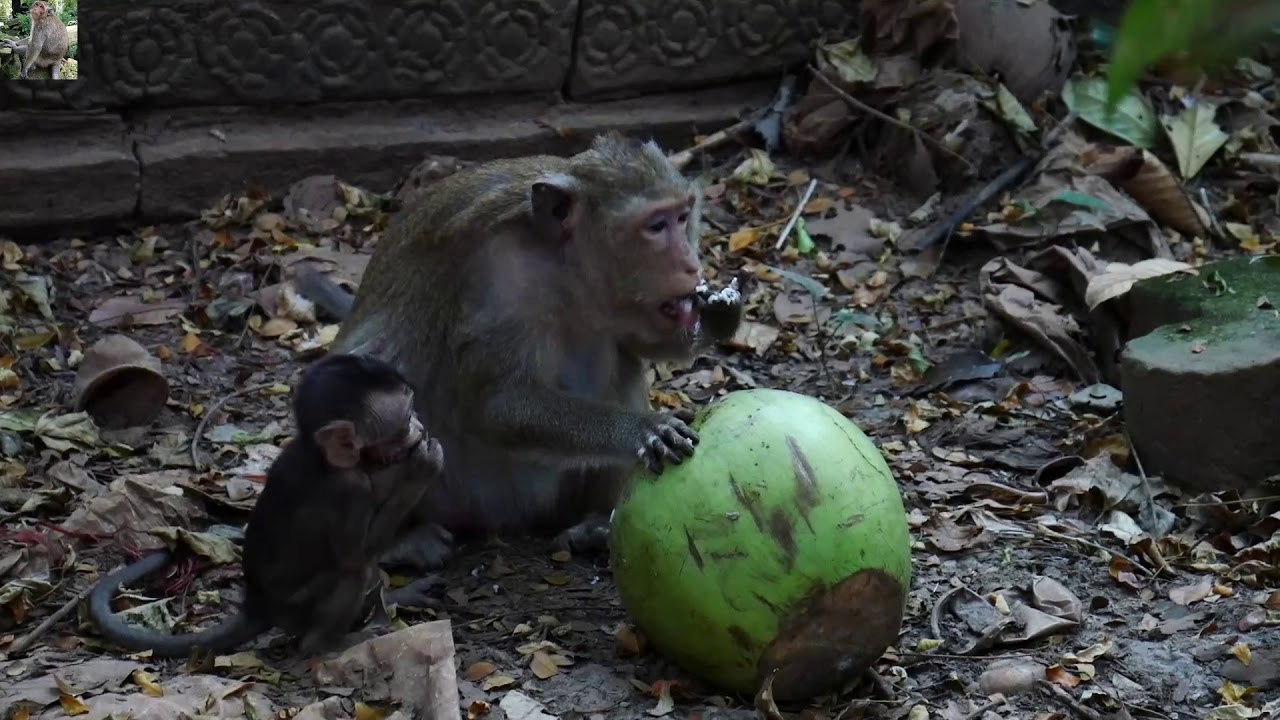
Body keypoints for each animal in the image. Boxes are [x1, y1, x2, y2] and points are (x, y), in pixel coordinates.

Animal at [86, 354, 446, 658]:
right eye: (406, 419)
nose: (420, 425)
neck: (320, 455)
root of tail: (257, 604)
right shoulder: (350, 489)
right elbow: (355, 555)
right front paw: (423, 467)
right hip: (298, 608)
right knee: (351, 574)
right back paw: (330, 644)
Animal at [293, 133, 745, 572]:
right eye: (655, 226)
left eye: (683, 217)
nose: (691, 264)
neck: (563, 265)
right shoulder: (499, 277)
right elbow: (497, 405)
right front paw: (640, 429)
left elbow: (640, 344)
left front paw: (719, 313)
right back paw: (399, 542)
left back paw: (597, 523)